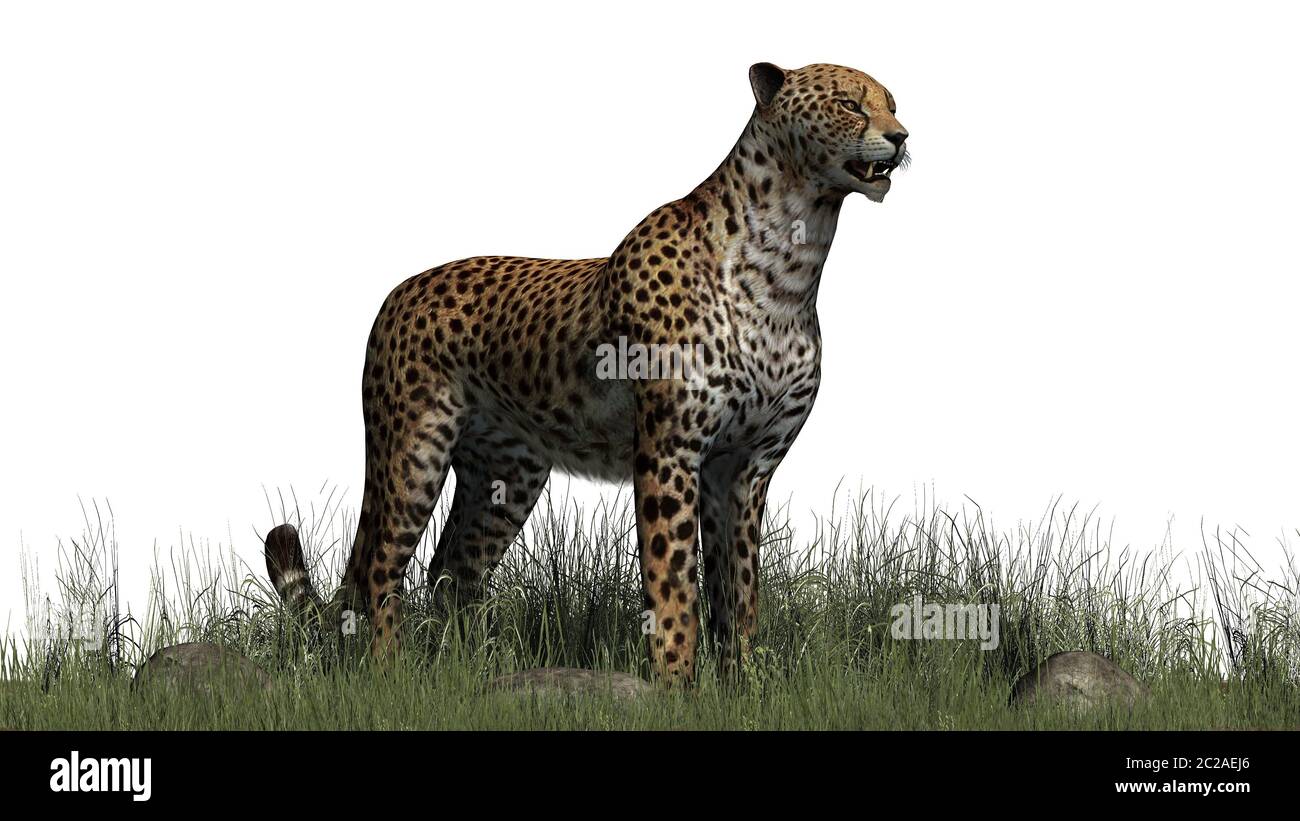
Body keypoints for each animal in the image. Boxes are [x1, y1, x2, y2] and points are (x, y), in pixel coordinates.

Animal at [265, 62, 909, 683]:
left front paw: (742, 688)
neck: (792, 262)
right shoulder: (670, 454)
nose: (901, 137)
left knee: (452, 566)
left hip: (509, 471)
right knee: (379, 566)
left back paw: (464, 674)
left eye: (892, 103)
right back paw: (391, 676)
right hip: (413, 449)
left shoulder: (745, 467)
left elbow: (740, 593)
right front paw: (677, 690)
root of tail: (400, 290)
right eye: (850, 104)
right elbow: (674, 587)